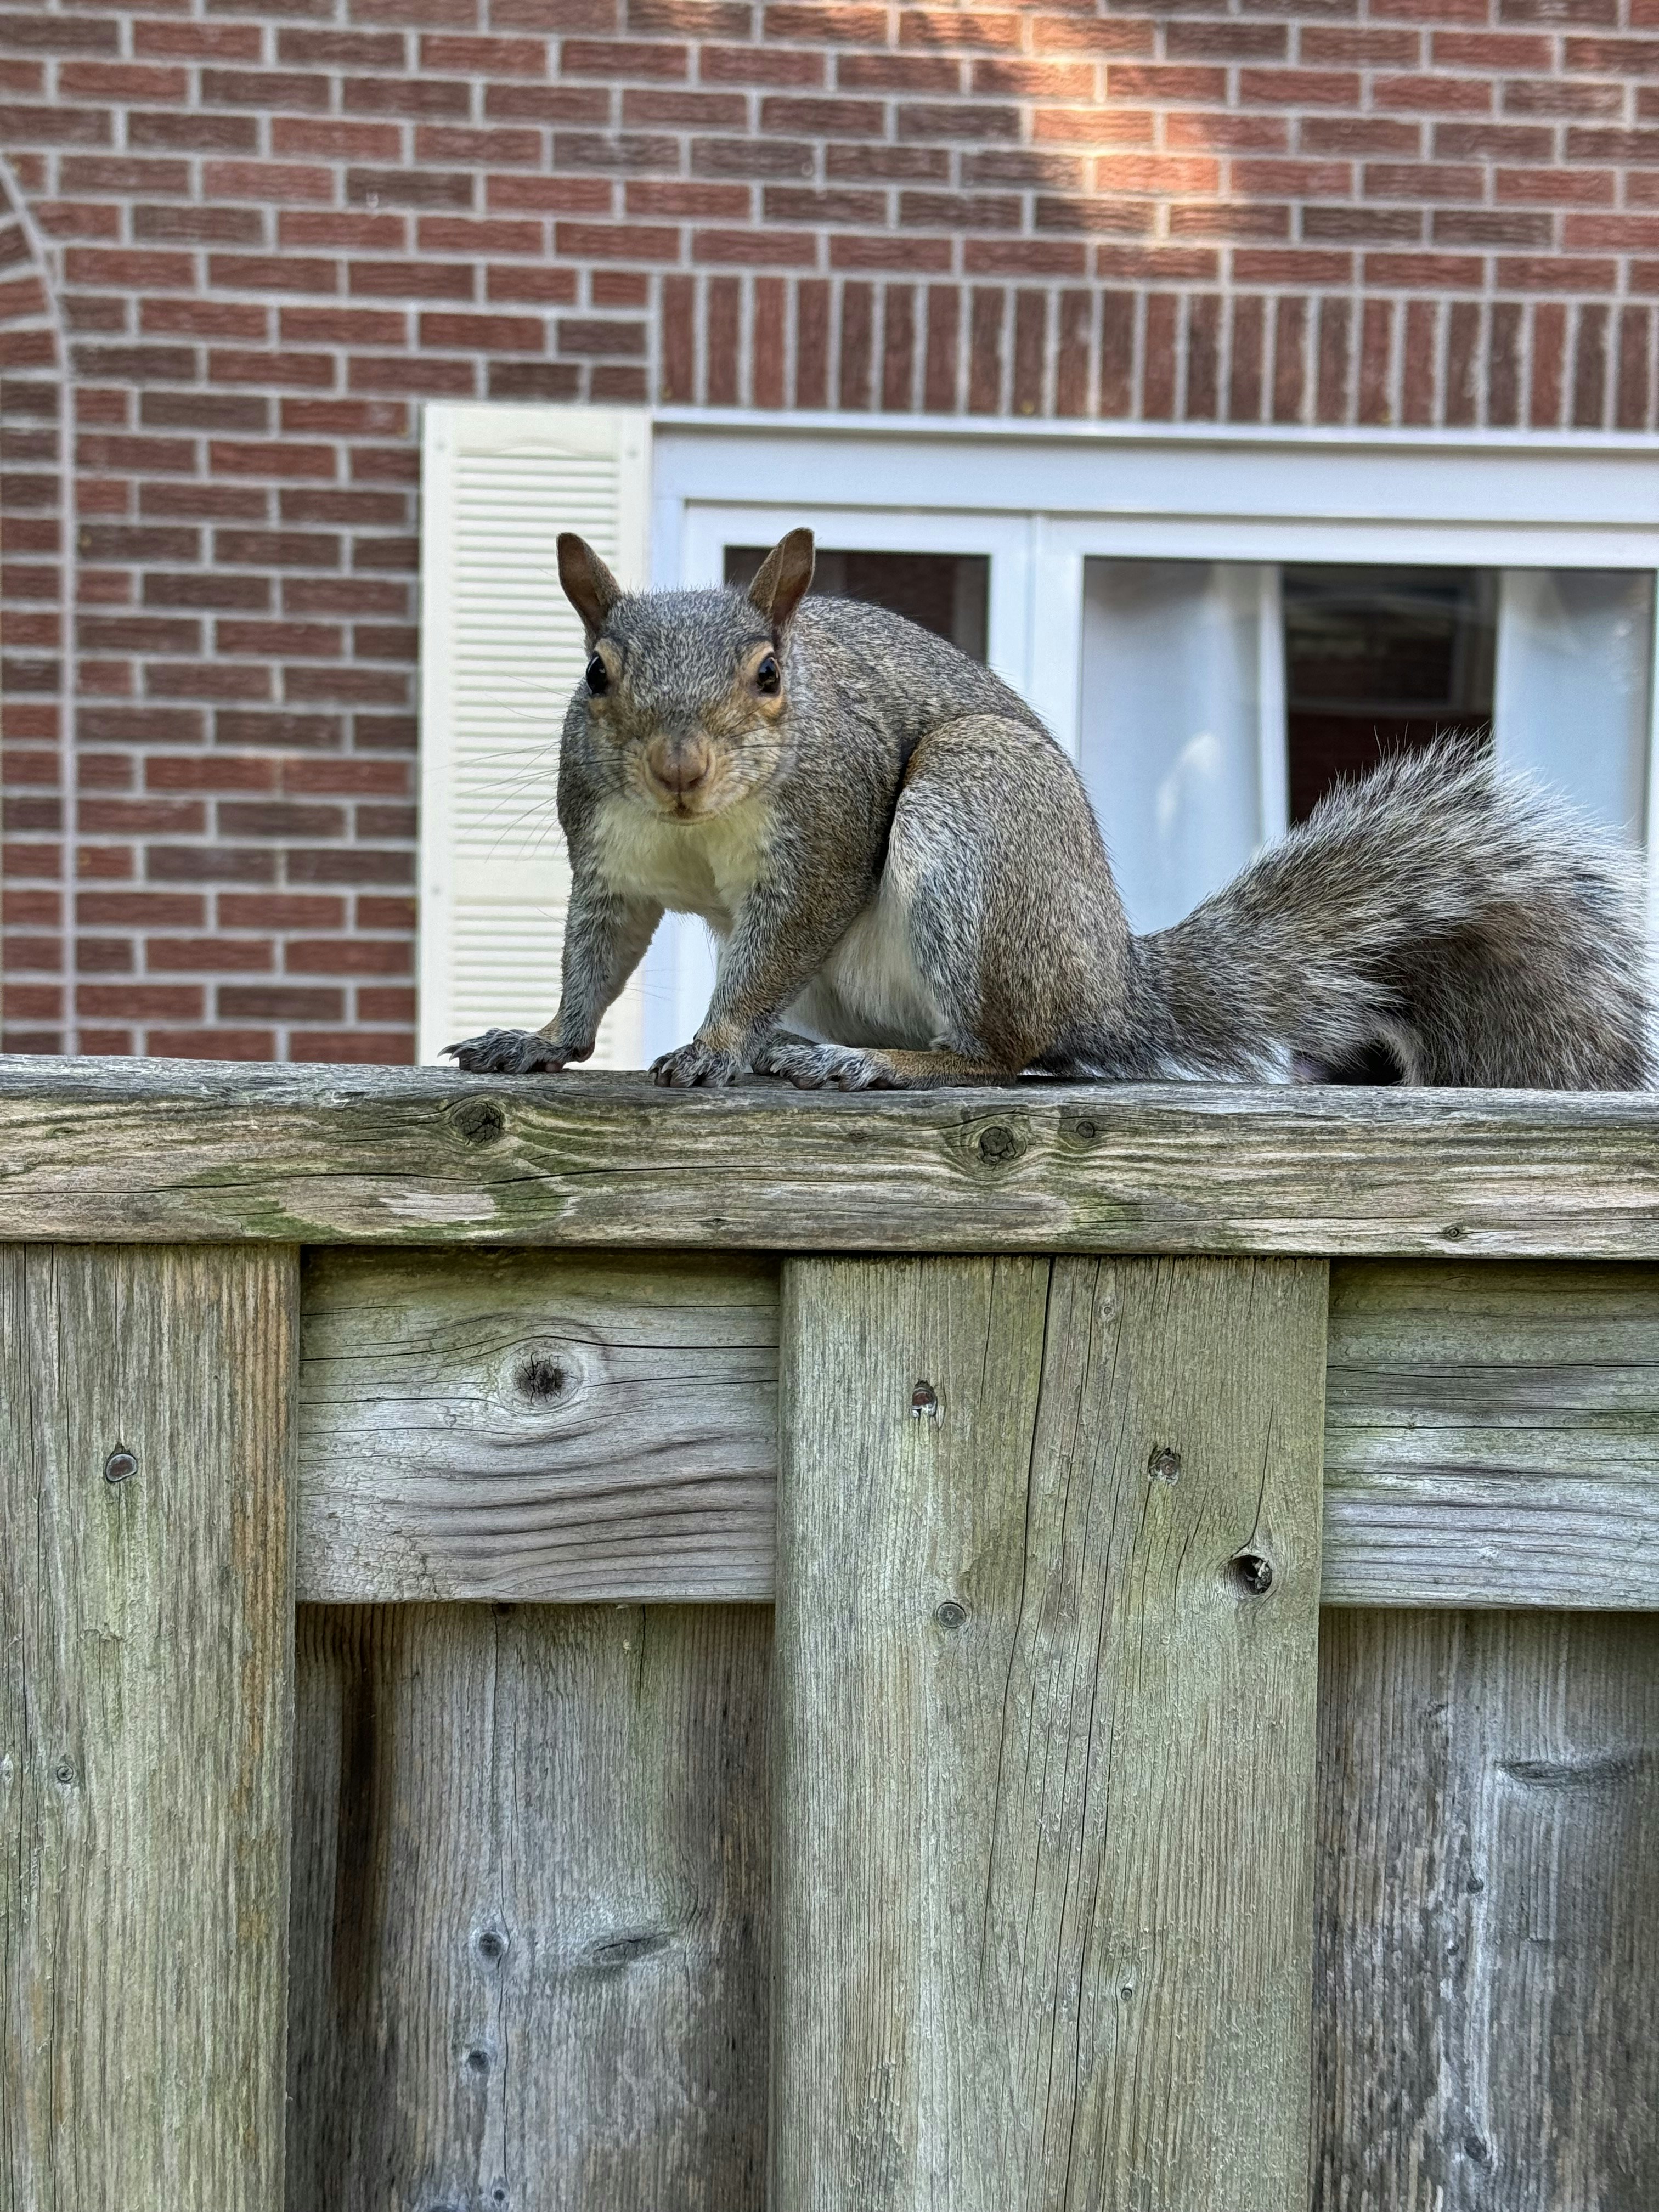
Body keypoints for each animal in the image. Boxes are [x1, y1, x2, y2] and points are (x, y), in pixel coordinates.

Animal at [449, 526, 1652, 1092]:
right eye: (596, 674)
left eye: (770, 675)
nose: (679, 769)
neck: (694, 833)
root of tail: (1107, 975)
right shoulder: (607, 857)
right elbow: (595, 961)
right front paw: (542, 1039)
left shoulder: (825, 837)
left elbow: (775, 944)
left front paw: (716, 1043)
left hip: (977, 810)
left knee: (1000, 1052)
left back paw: (878, 1064)